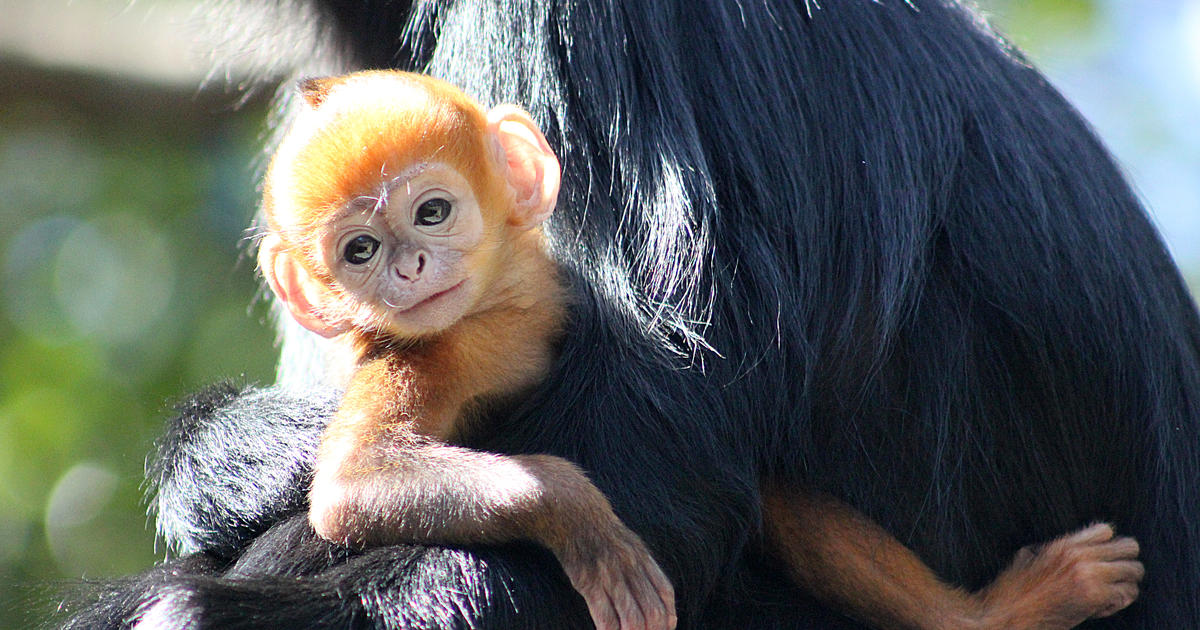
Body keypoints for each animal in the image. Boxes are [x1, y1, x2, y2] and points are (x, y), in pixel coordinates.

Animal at [256, 70, 1142, 630]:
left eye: (431, 212)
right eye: (359, 251)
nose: (408, 268)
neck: (502, 315)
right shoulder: (429, 354)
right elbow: (349, 490)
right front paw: (583, 520)